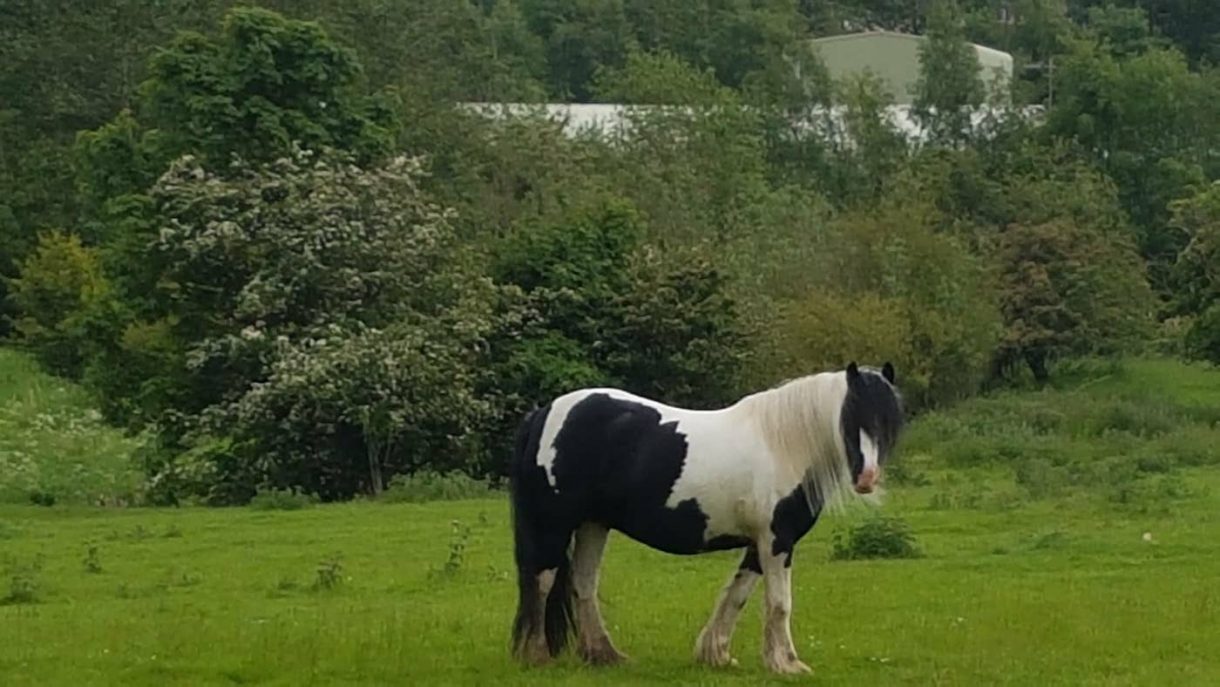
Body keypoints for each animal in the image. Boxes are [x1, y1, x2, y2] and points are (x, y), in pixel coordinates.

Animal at [508, 361, 905, 674]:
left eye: (889, 420)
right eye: (850, 416)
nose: (867, 478)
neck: (784, 445)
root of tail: (543, 413)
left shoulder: (761, 542)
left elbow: (737, 595)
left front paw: (717, 653)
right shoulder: (778, 541)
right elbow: (779, 603)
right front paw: (787, 664)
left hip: (593, 524)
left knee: (584, 583)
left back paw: (605, 655)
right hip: (554, 524)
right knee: (541, 581)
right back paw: (538, 656)